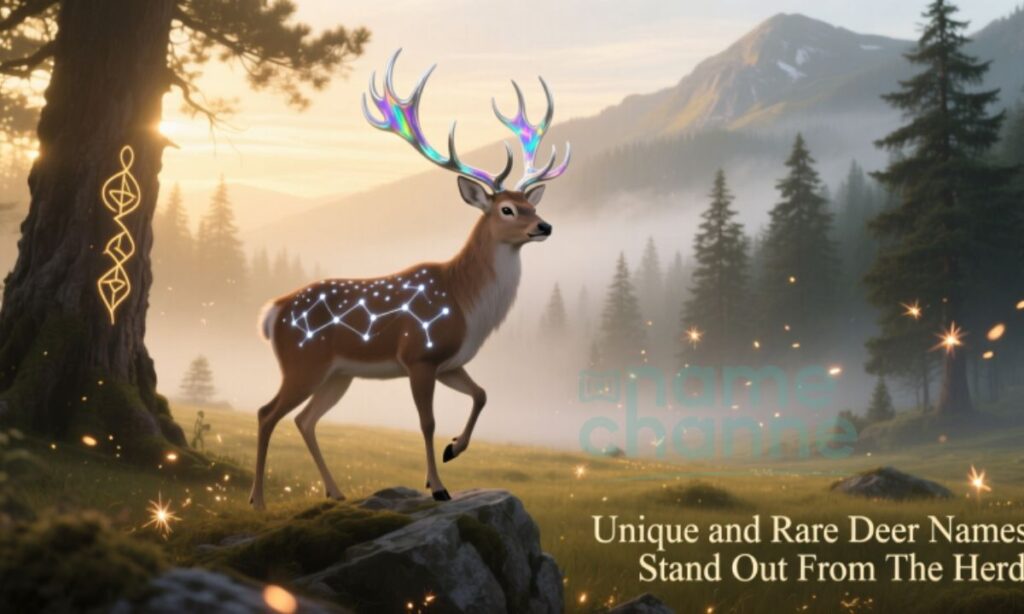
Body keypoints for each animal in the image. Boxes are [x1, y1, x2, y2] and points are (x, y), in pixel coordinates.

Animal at [249, 50, 571, 509]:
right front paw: (437, 485)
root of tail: (271, 313)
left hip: (338, 374)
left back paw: (335, 491)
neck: (466, 302)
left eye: (532, 203)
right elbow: (427, 421)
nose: (544, 226)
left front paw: (454, 449)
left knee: (305, 419)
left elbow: (482, 394)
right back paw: (258, 500)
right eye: (507, 209)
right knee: (267, 412)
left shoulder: (451, 361)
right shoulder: (419, 355)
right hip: (303, 362)